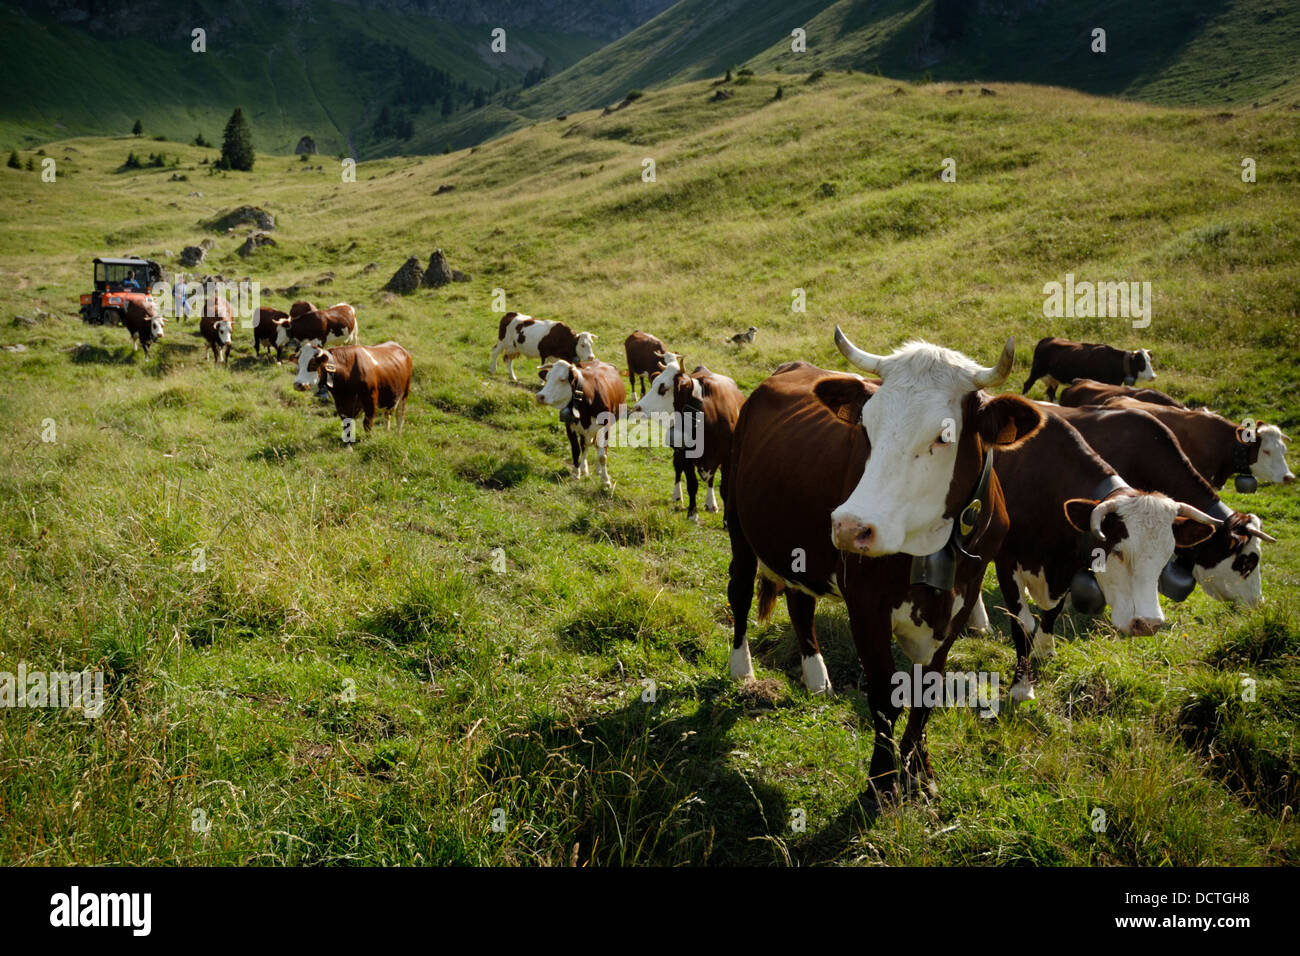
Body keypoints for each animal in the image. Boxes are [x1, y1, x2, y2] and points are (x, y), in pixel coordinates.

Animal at [535, 359, 627, 489]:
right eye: (547, 378)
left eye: (562, 379)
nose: (539, 396)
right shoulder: (569, 426)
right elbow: (576, 449)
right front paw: (576, 473)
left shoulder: (605, 428)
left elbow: (602, 456)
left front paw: (605, 480)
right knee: (585, 445)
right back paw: (584, 468)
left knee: (597, 446)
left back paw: (598, 469)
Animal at [630, 363, 744, 522]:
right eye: (653, 384)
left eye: (663, 389)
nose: (636, 408)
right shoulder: (685, 453)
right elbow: (692, 484)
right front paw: (692, 514)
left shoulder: (727, 457)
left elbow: (725, 489)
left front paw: (726, 520)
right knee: (678, 468)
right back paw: (677, 495)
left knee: (711, 478)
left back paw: (711, 503)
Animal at [726, 330, 1044, 796]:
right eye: (866, 427)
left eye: (943, 437)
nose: (850, 527)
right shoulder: (865, 603)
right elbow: (883, 697)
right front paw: (881, 782)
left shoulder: (961, 602)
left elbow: (926, 695)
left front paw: (920, 774)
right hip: (738, 526)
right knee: (739, 592)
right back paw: (742, 669)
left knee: (801, 603)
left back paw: (816, 678)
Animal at [991, 411, 1222, 702]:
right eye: (1119, 552)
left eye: (1167, 555)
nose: (1148, 624)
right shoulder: (1006, 561)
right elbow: (1023, 623)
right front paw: (1022, 686)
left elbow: (1052, 612)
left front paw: (1045, 649)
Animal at [1021, 337, 1154, 401]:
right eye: (1141, 361)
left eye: (1149, 360)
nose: (1153, 376)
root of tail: (1047, 339)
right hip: (1036, 371)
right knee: (1027, 385)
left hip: (1054, 378)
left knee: (1050, 392)